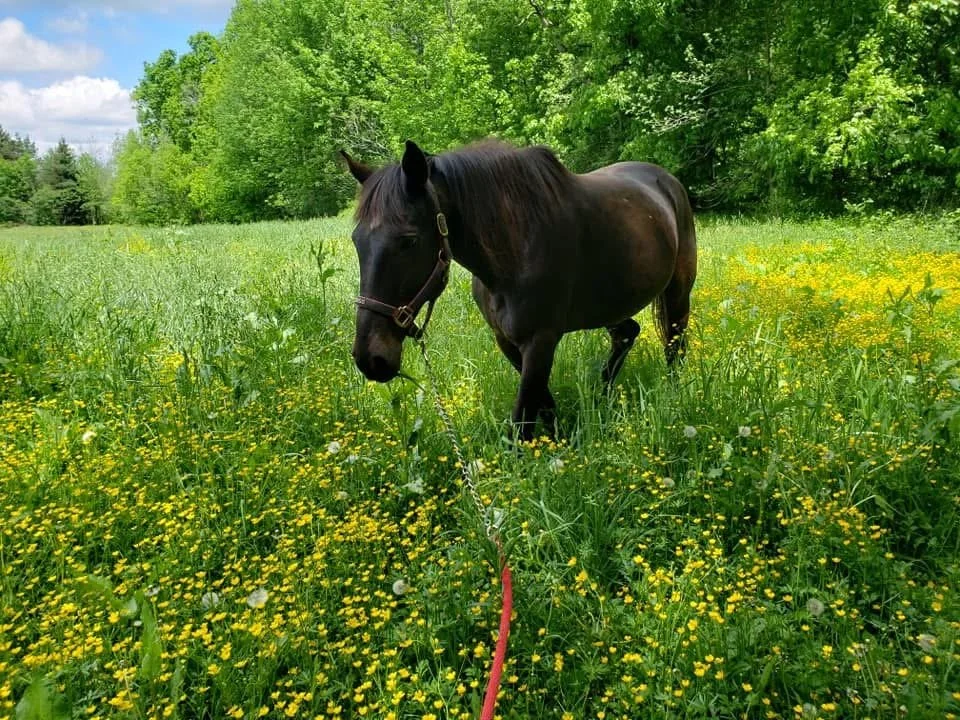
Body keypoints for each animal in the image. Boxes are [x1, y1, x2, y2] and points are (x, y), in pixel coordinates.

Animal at [341, 139, 697, 441]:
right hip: (610, 304)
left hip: (677, 295)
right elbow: (542, 402)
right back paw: (601, 399)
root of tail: (666, 180)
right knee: (626, 334)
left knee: (674, 346)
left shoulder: (540, 340)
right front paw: (561, 441)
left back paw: (672, 396)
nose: (371, 358)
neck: (513, 248)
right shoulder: (507, 340)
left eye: (409, 241)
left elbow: (522, 422)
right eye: (357, 240)